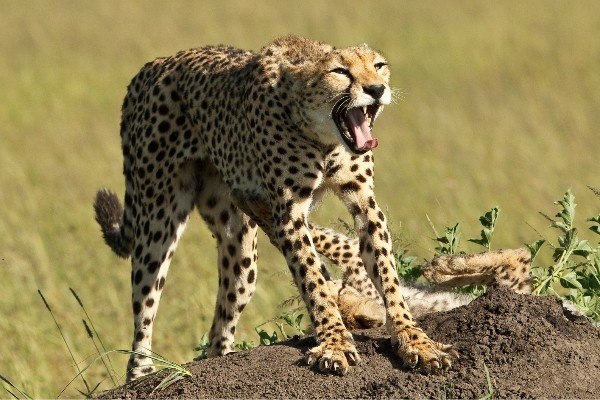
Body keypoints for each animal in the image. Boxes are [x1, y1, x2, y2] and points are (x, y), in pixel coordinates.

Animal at [94, 35, 463, 381]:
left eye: (379, 65)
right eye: (340, 71)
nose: (376, 89)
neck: (323, 137)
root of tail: (155, 64)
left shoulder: (363, 202)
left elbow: (386, 274)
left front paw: (415, 341)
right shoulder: (289, 210)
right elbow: (312, 277)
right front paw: (335, 344)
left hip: (240, 250)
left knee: (221, 325)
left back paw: (220, 357)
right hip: (158, 217)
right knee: (146, 303)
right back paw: (140, 372)